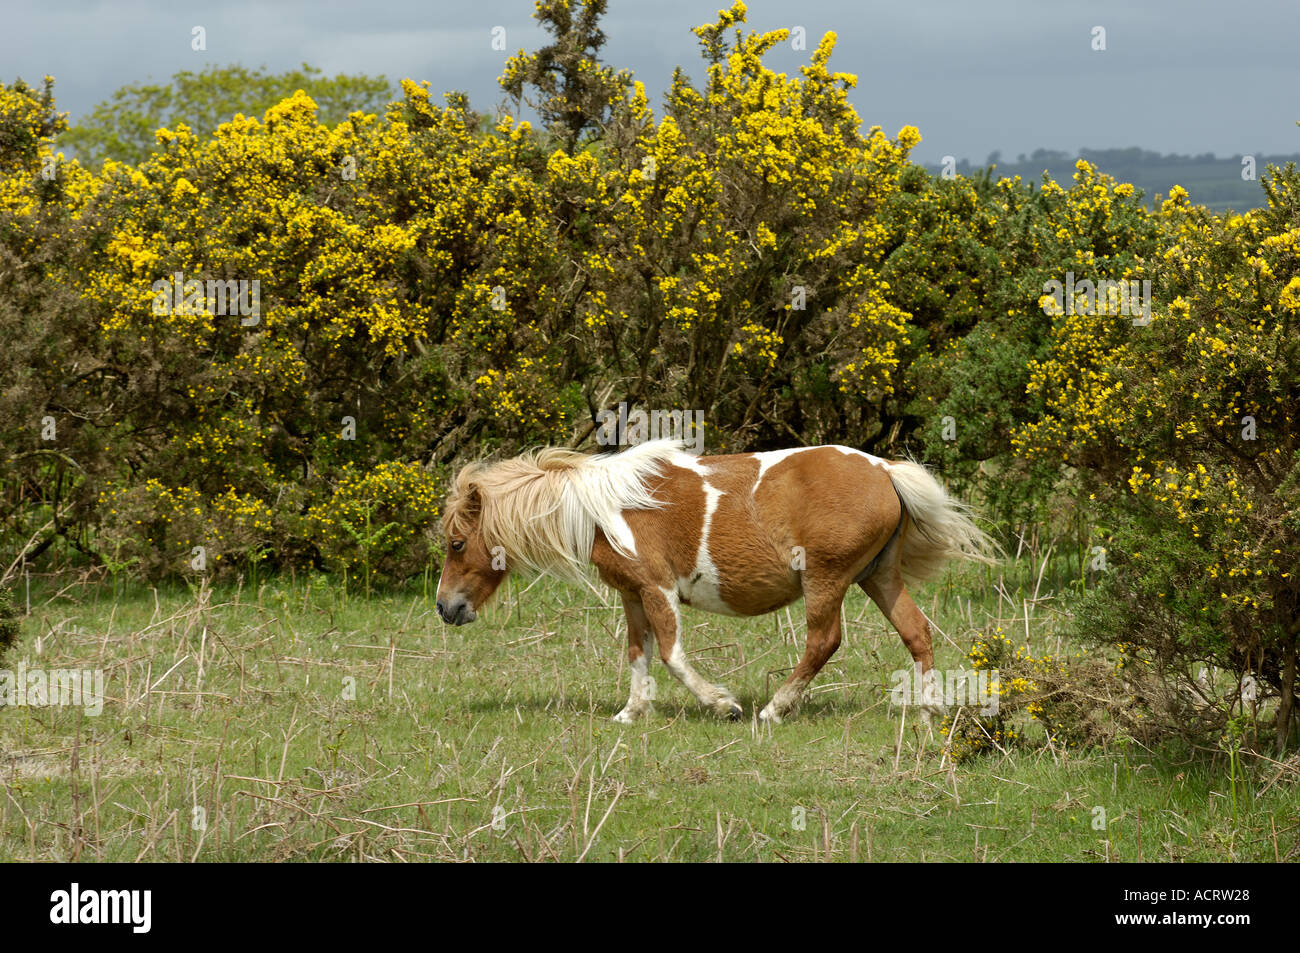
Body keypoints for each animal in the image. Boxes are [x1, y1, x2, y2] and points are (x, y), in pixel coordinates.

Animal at [436, 439, 995, 724]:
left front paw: (722, 703)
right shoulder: (632, 595)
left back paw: (773, 709)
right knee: (916, 632)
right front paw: (630, 713)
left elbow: (671, 655)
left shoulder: (658, 589)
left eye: (457, 544)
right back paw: (928, 712)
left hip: (827, 580)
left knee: (824, 641)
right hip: (879, 577)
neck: (604, 509)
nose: (446, 608)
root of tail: (884, 470)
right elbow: (638, 655)